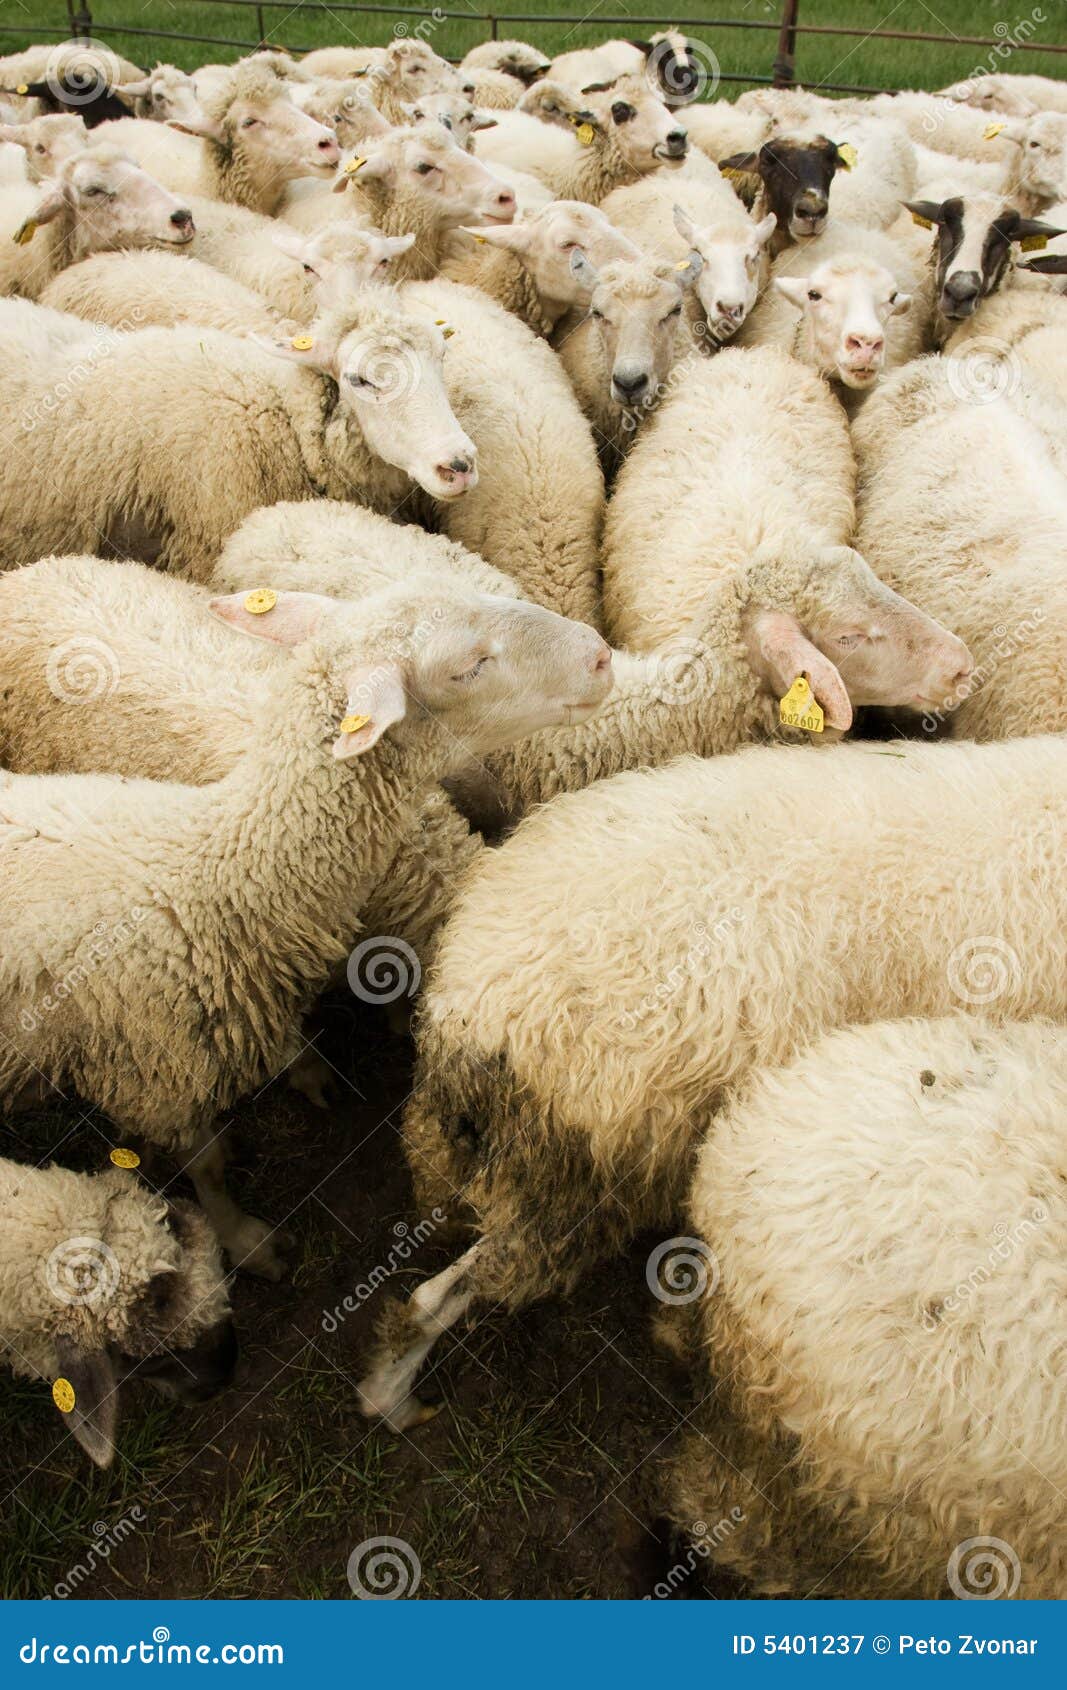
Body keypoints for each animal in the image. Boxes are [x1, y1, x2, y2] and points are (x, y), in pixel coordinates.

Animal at [0, 576, 610, 1281]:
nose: (601, 656)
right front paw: (248, 1242)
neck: (207, 872)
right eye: (467, 667)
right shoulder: (158, 1077)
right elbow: (206, 1165)